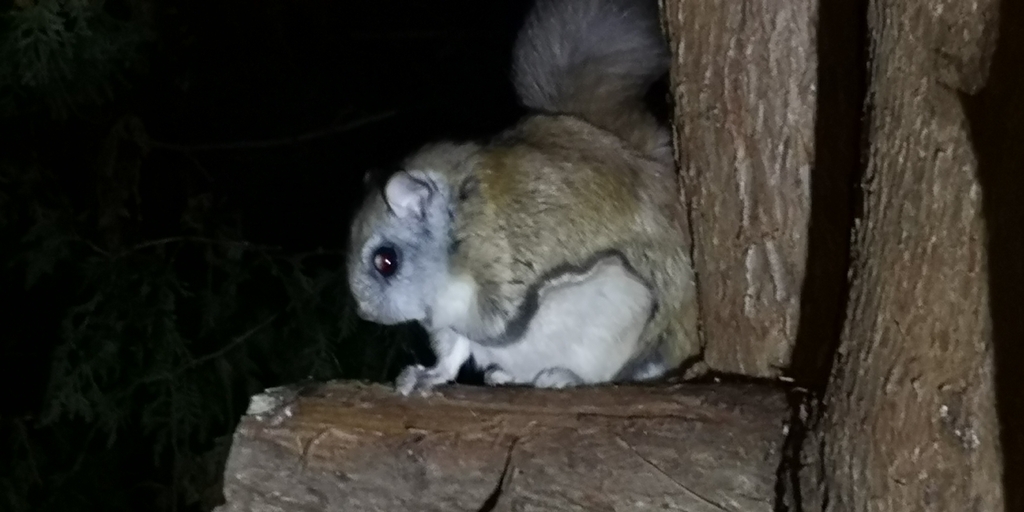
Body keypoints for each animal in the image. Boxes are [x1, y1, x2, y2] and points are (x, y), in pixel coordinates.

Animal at [346, 0, 698, 395]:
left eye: (385, 261)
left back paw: (566, 376)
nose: (366, 312)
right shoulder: (450, 319)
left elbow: (495, 324)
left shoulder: (504, 258)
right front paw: (428, 375)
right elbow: (452, 352)